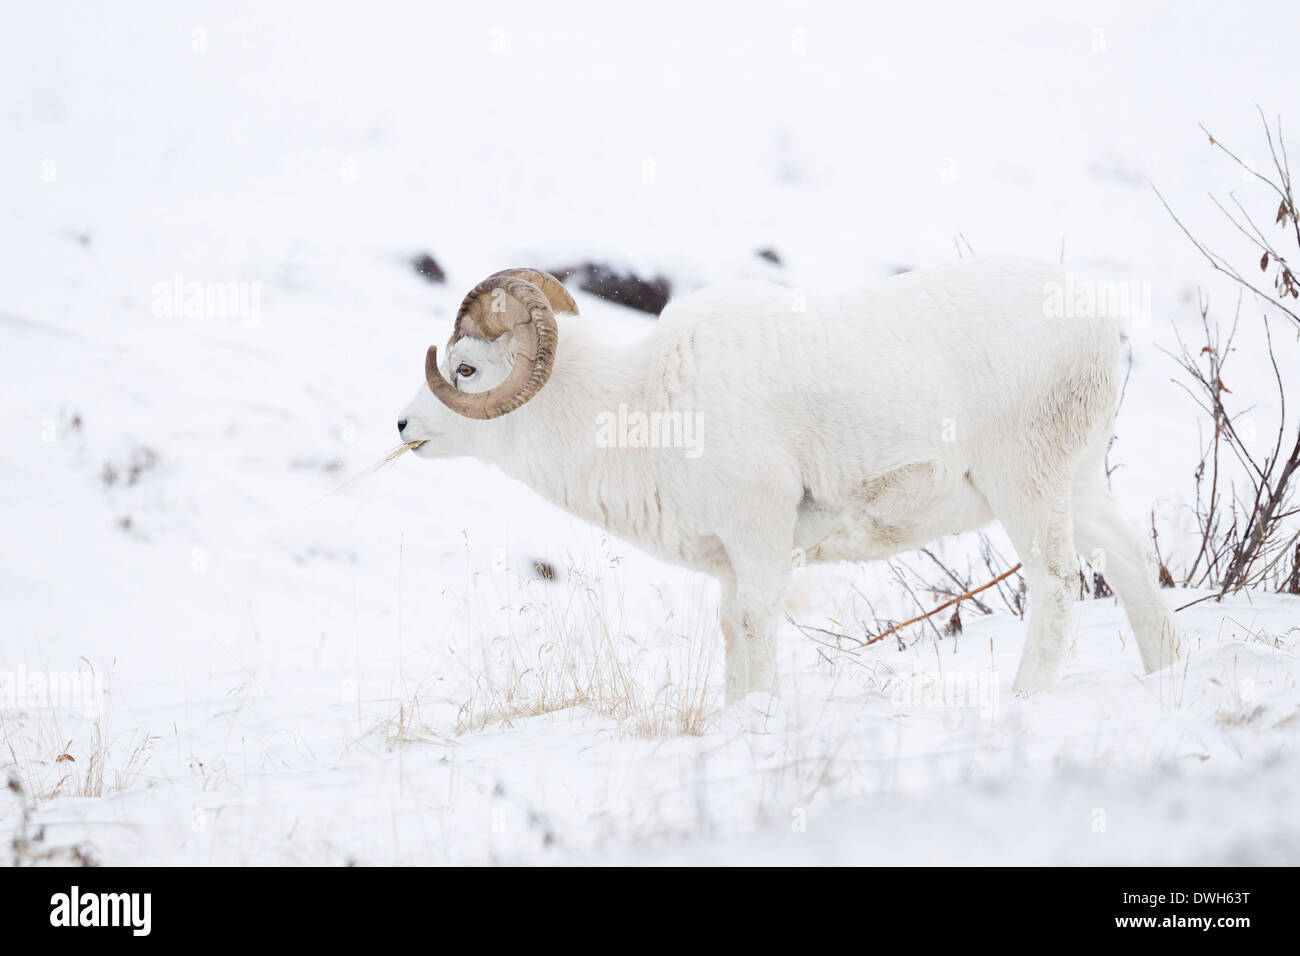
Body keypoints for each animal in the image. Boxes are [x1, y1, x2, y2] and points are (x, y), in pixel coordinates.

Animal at [396, 262, 1181, 703]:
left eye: (465, 368)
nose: (404, 427)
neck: (639, 407)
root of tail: (1096, 320)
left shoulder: (762, 538)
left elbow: (754, 625)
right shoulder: (730, 561)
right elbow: (731, 634)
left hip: (1026, 487)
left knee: (1057, 585)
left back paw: (1023, 699)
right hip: (1080, 484)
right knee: (1132, 568)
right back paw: (1162, 674)